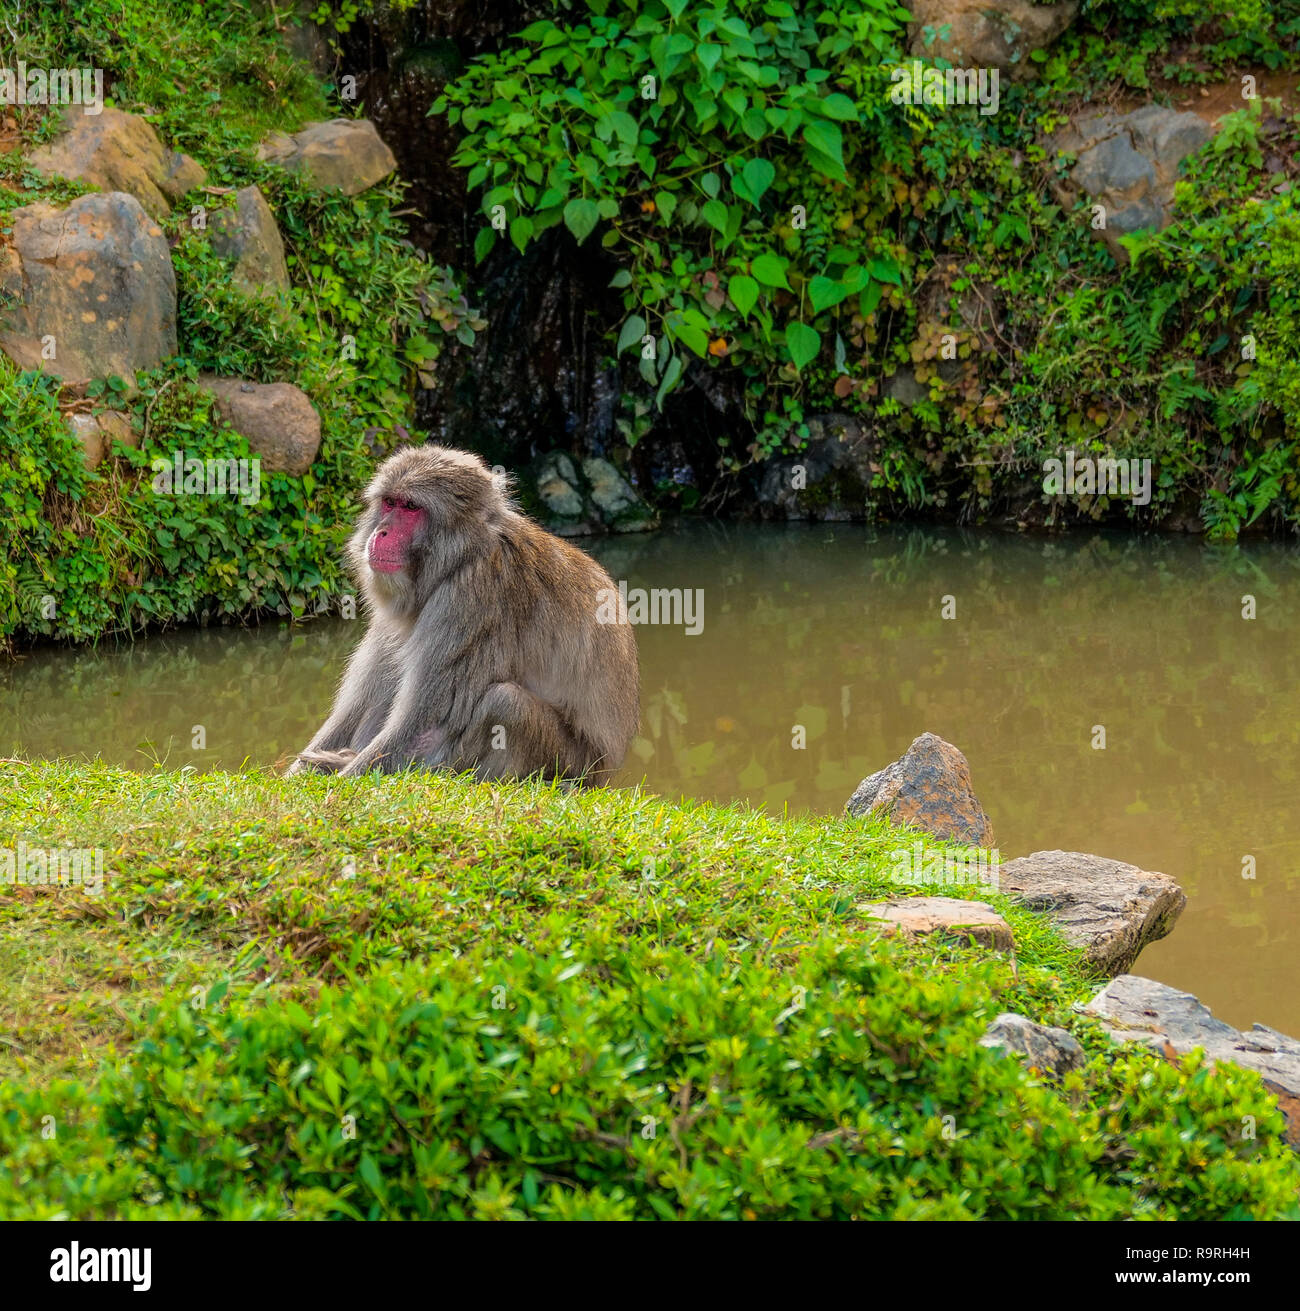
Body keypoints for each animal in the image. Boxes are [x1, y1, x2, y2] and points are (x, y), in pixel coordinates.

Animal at [287, 444, 639, 785]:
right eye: (389, 503)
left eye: (411, 507)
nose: (382, 532)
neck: (462, 557)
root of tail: (604, 774)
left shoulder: (471, 602)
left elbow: (426, 725)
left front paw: (342, 776)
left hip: (572, 763)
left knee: (506, 703)